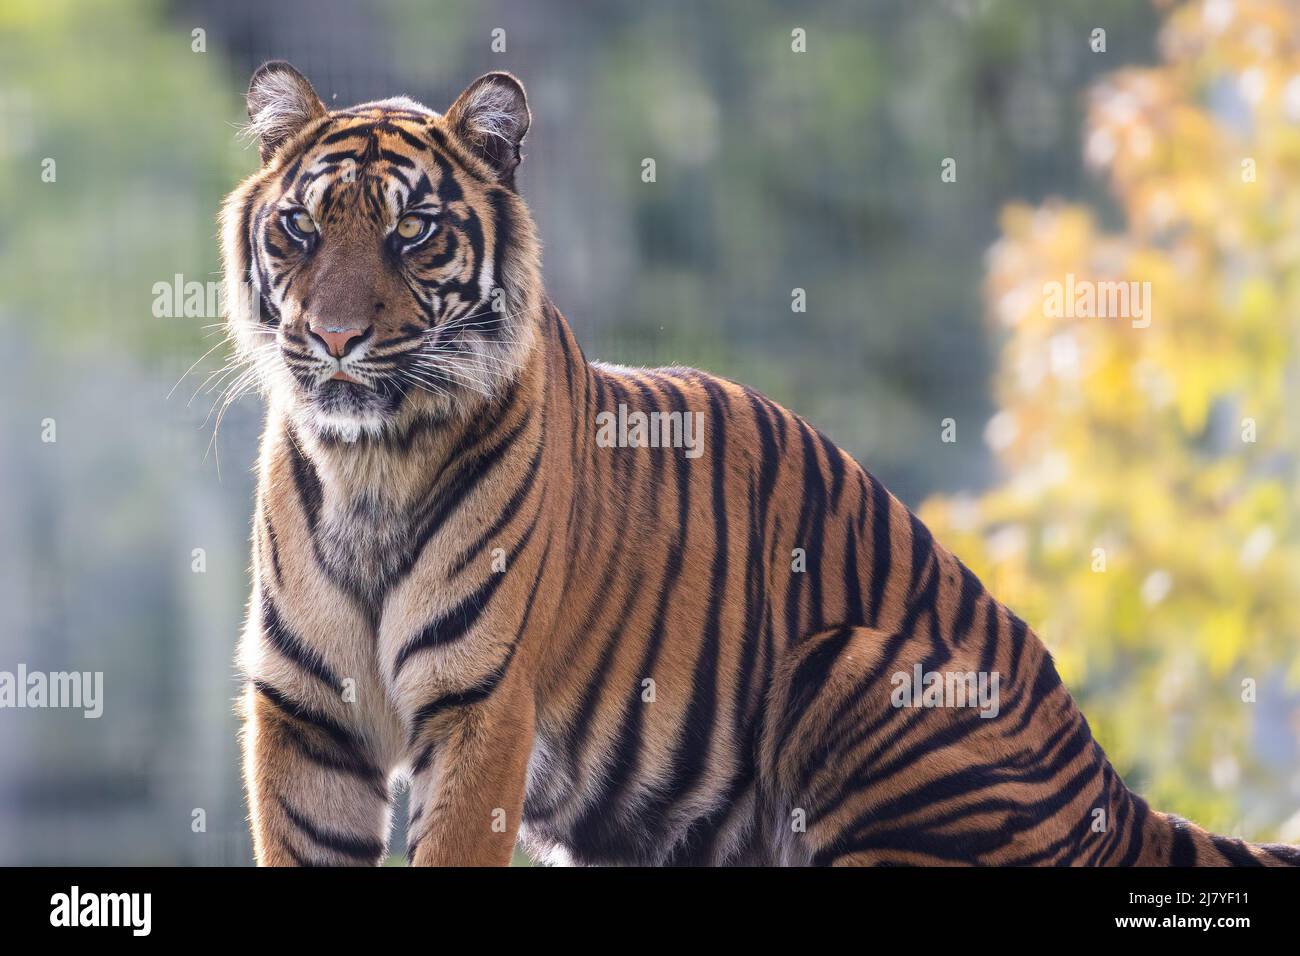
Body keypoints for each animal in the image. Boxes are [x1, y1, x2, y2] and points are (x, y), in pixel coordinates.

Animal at [221, 61, 1299, 867]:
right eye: (300, 227)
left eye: (412, 231)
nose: (335, 338)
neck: (368, 466)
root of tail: (1114, 795)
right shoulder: (303, 713)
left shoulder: (479, 708)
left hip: (848, 667)